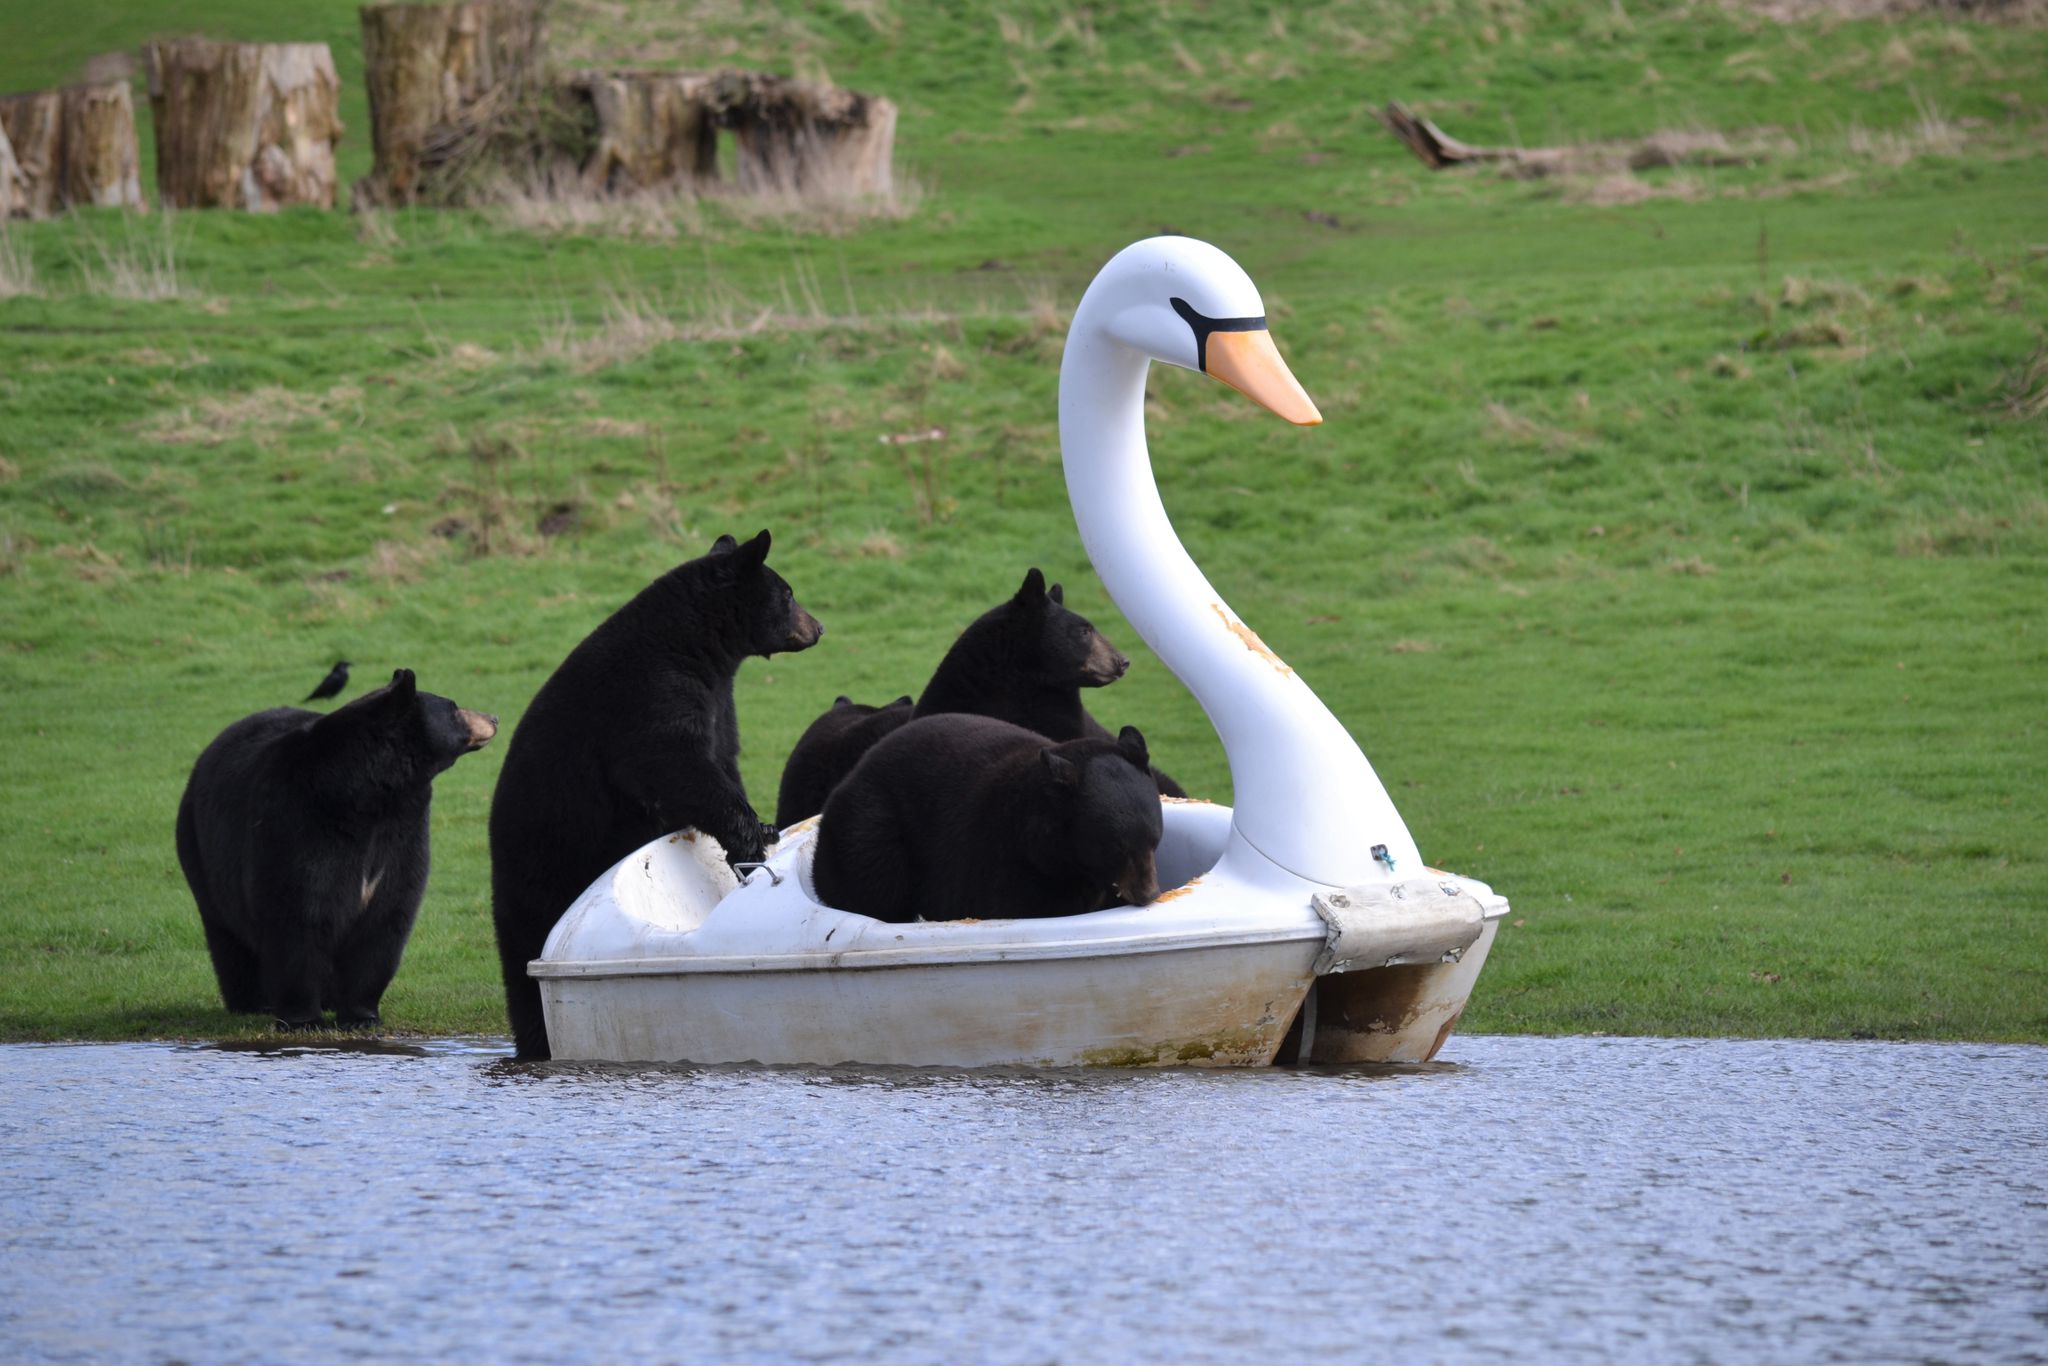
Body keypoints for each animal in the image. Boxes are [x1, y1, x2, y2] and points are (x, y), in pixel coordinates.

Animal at [173, 668, 498, 1030]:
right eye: (453, 708)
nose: (494, 718)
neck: (369, 794)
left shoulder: (403, 833)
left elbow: (386, 918)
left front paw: (361, 1015)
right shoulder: (297, 824)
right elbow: (297, 917)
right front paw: (304, 1019)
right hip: (199, 849)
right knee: (226, 934)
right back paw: (252, 1001)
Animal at [489, 529, 822, 1060]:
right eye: (788, 594)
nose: (818, 627)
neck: (696, 645)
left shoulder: (719, 702)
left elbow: (722, 758)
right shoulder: (651, 694)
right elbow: (674, 765)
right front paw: (752, 837)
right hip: (543, 865)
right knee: (524, 963)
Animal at [811, 714, 1164, 925]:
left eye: (1154, 840)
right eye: (1116, 848)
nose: (1148, 894)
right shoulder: (1000, 861)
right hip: (869, 827)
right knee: (874, 882)